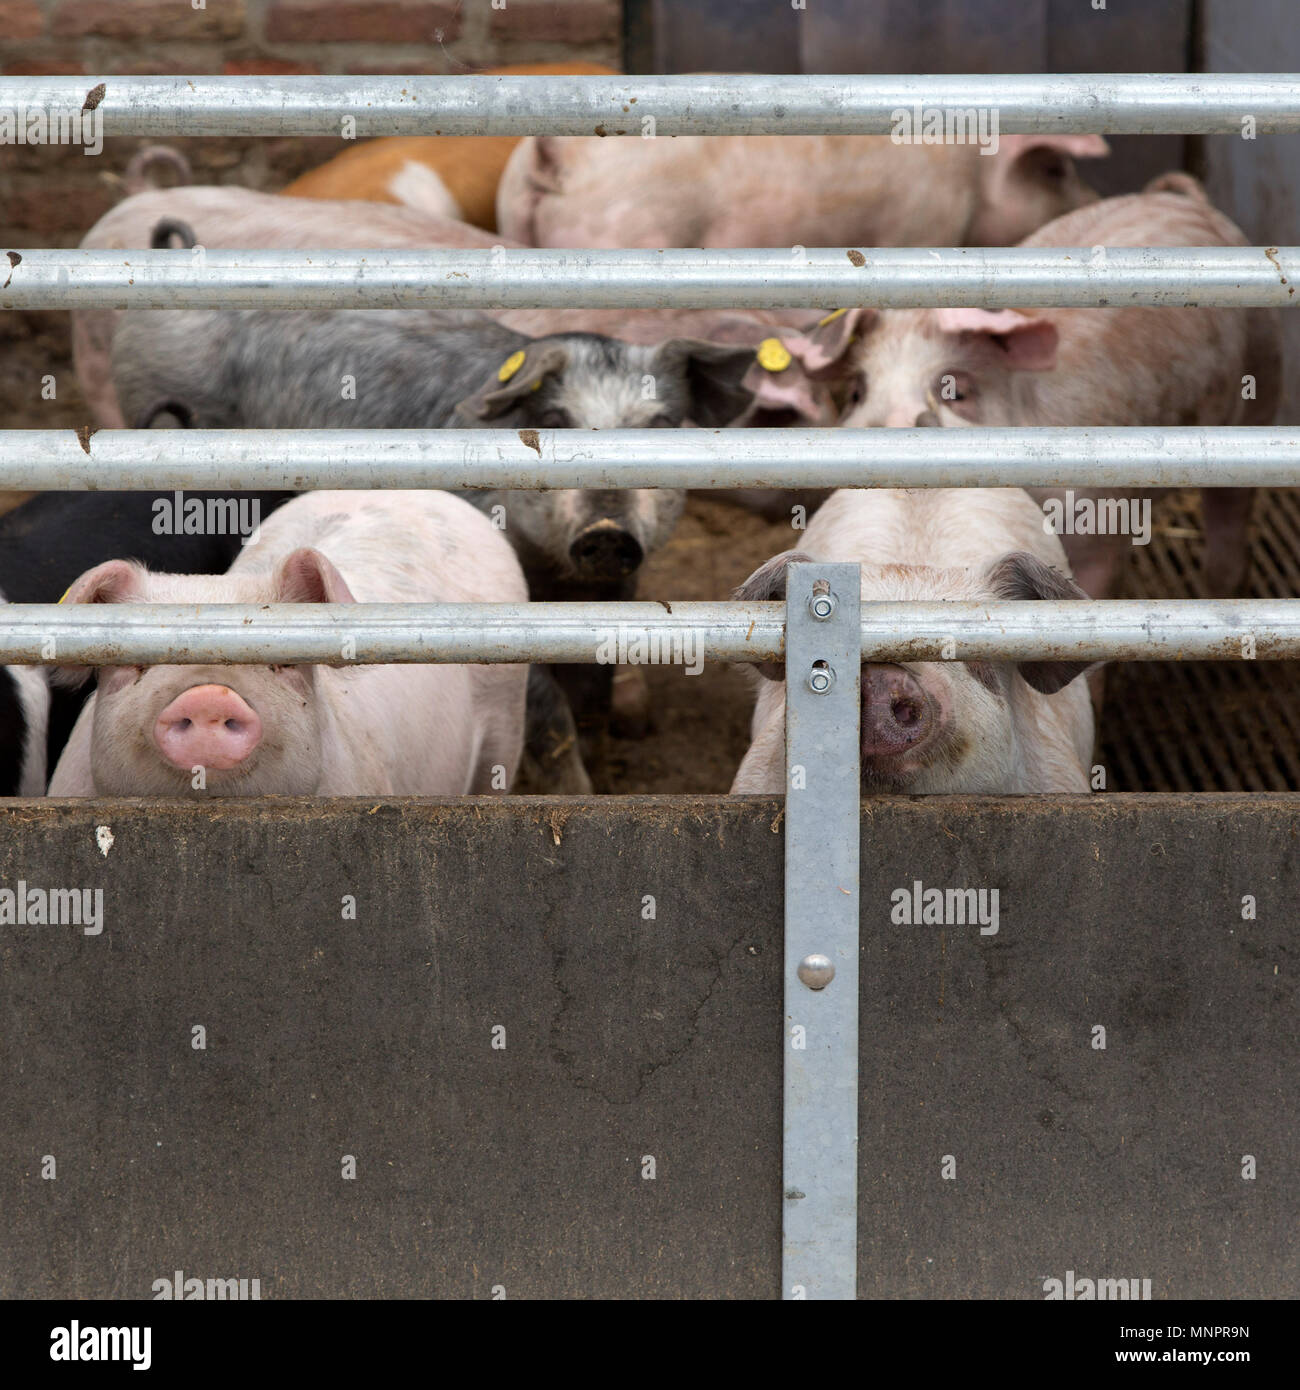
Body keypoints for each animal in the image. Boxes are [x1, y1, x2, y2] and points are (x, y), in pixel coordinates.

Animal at [788, 175, 1283, 598]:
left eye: (956, 391)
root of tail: (1184, 200)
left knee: (1230, 507)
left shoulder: (1097, 525)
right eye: (857, 392)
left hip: (1263, 376)